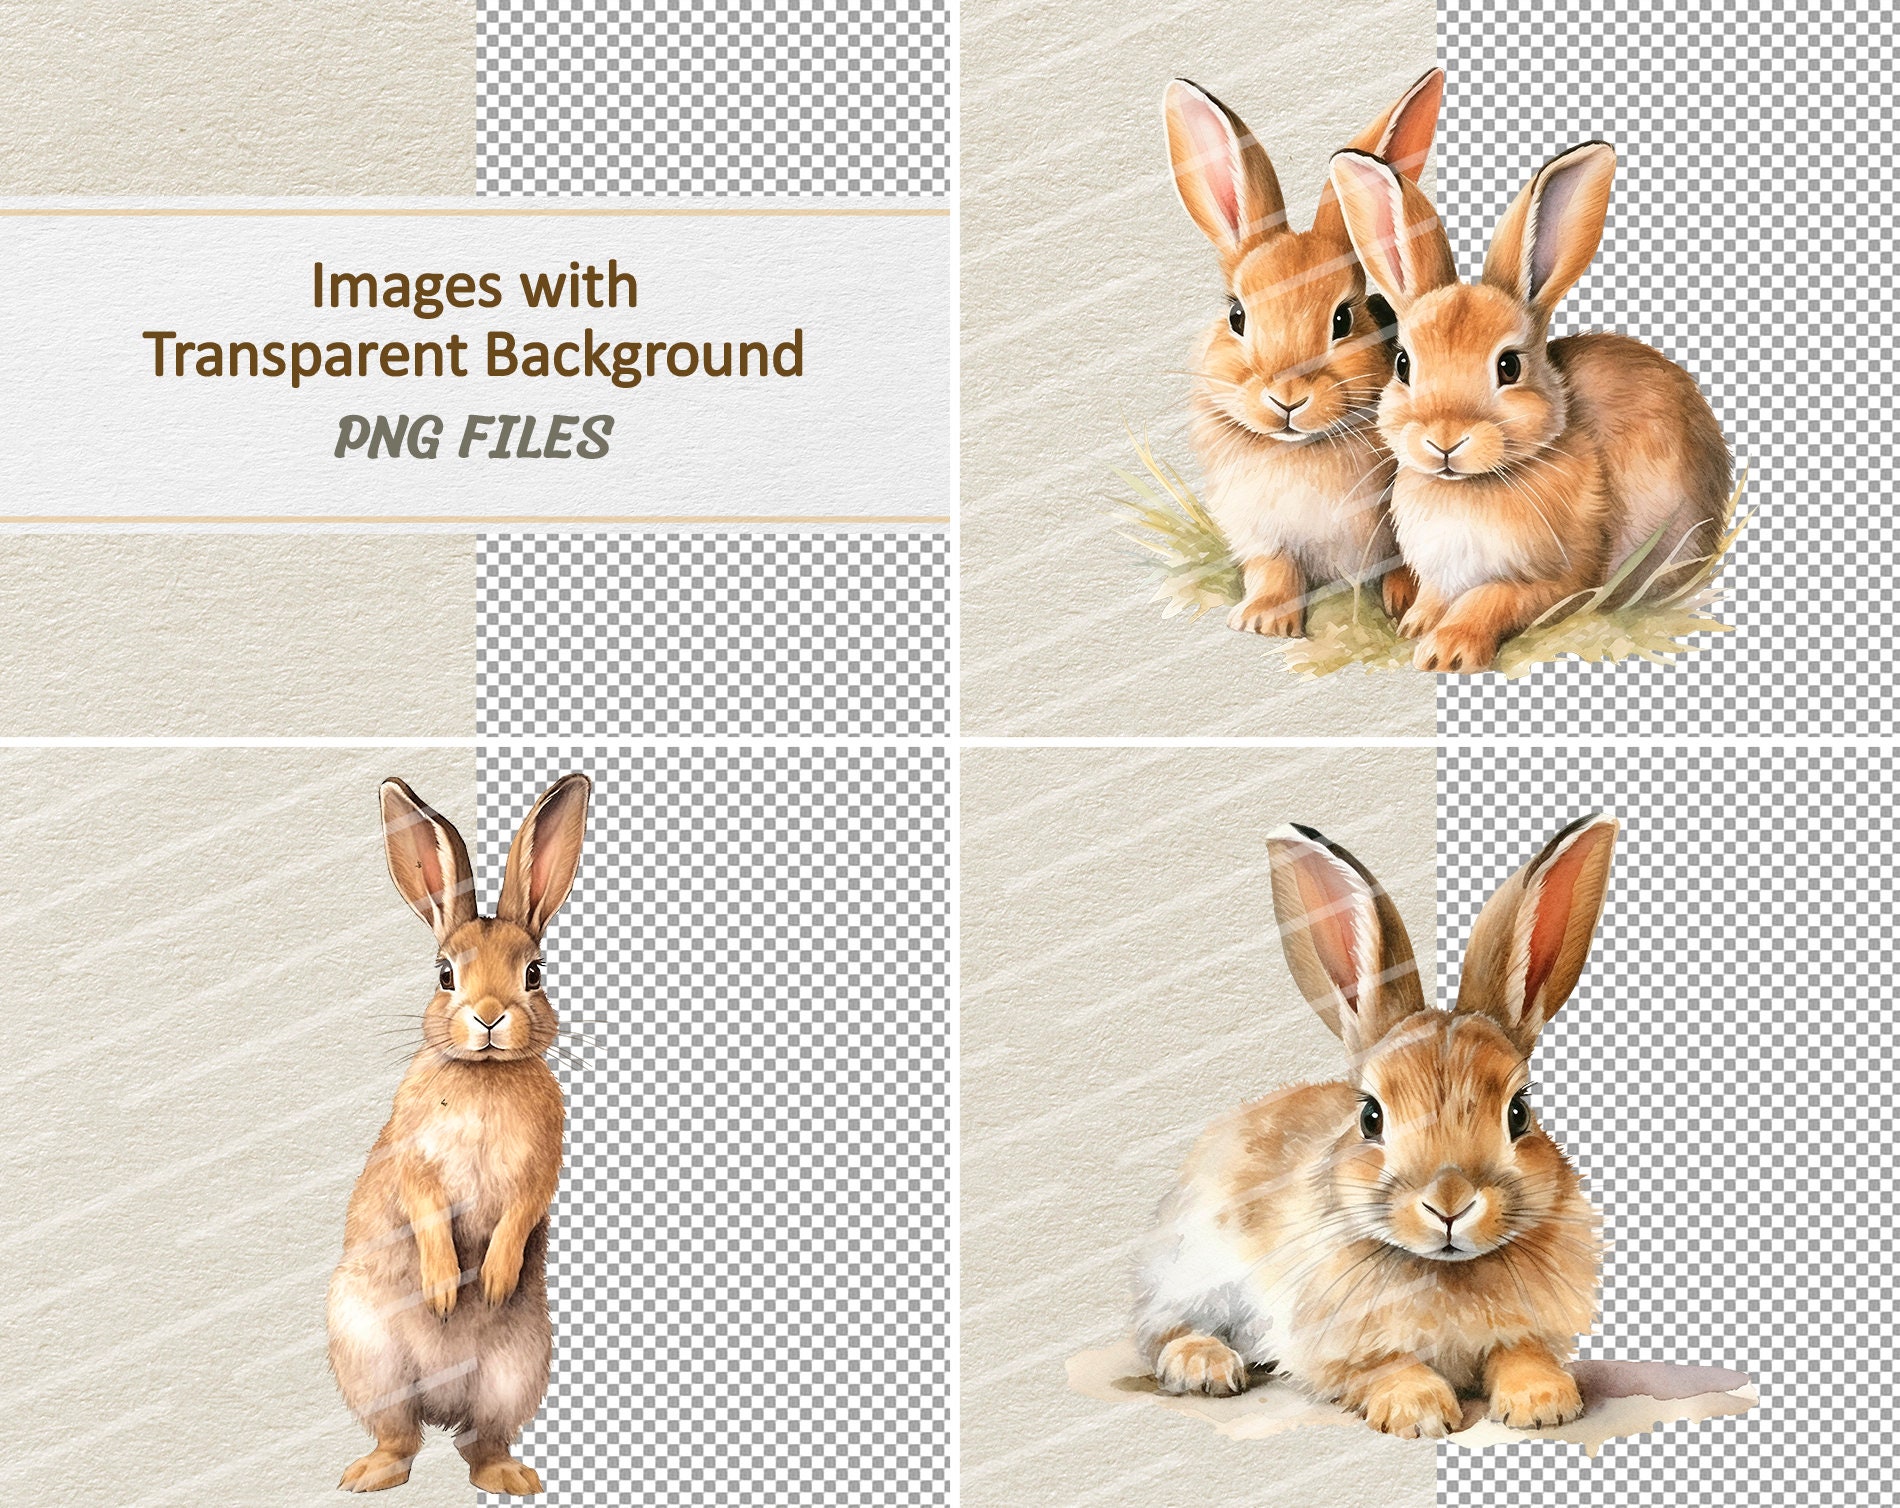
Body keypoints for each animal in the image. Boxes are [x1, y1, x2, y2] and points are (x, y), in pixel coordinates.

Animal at [328, 773, 590, 1494]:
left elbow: (521, 1208)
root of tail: (443, 1402)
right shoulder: (412, 1157)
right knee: (401, 1434)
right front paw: (446, 1287)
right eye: (445, 974)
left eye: (535, 973)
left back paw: (511, 1478)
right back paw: (368, 1476)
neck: (485, 1076)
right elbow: (425, 1207)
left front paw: (493, 1281)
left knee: (481, 1442)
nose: (490, 1016)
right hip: (367, 1353)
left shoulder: (542, 1166)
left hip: (516, 1371)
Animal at [1133, 815, 1615, 1437]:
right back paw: (1204, 1364)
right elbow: (1384, 1365)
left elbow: (1521, 1352)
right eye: (1371, 1117)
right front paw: (1420, 1413)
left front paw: (1543, 1402)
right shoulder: (1334, 1341)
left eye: (1518, 1114)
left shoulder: (1528, 1329)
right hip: (1192, 1264)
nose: (1450, 1203)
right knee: (1158, 1327)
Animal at [1163, 68, 1444, 638]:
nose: (1287, 397)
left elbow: (1407, 562)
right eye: (1237, 316)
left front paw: (1402, 603)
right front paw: (1265, 620)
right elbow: (1274, 570)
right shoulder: (1260, 532)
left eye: (1343, 320)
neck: (1299, 451)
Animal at [1327, 141, 1732, 671]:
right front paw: (1417, 624)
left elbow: (1493, 598)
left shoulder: (1562, 581)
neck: (1469, 487)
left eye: (1509, 366)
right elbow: (1436, 594)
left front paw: (1447, 650)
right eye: (1403, 364)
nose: (1444, 440)